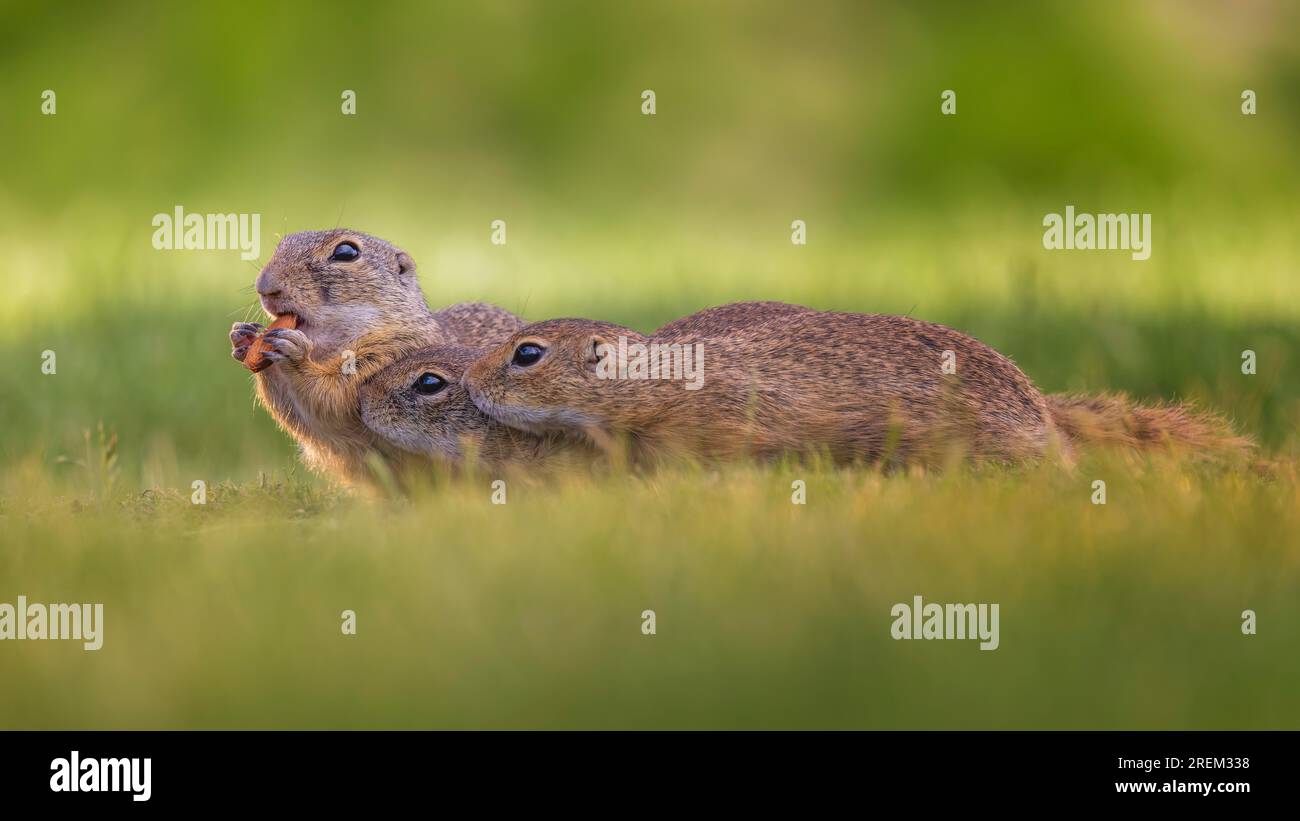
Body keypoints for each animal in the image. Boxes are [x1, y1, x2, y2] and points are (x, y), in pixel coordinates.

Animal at [229, 229, 524, 484]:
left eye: (346, 252)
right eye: (283, 243)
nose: (265, 285)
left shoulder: (390, 354)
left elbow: (330, 396)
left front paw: (295, 356)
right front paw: (243, 338)